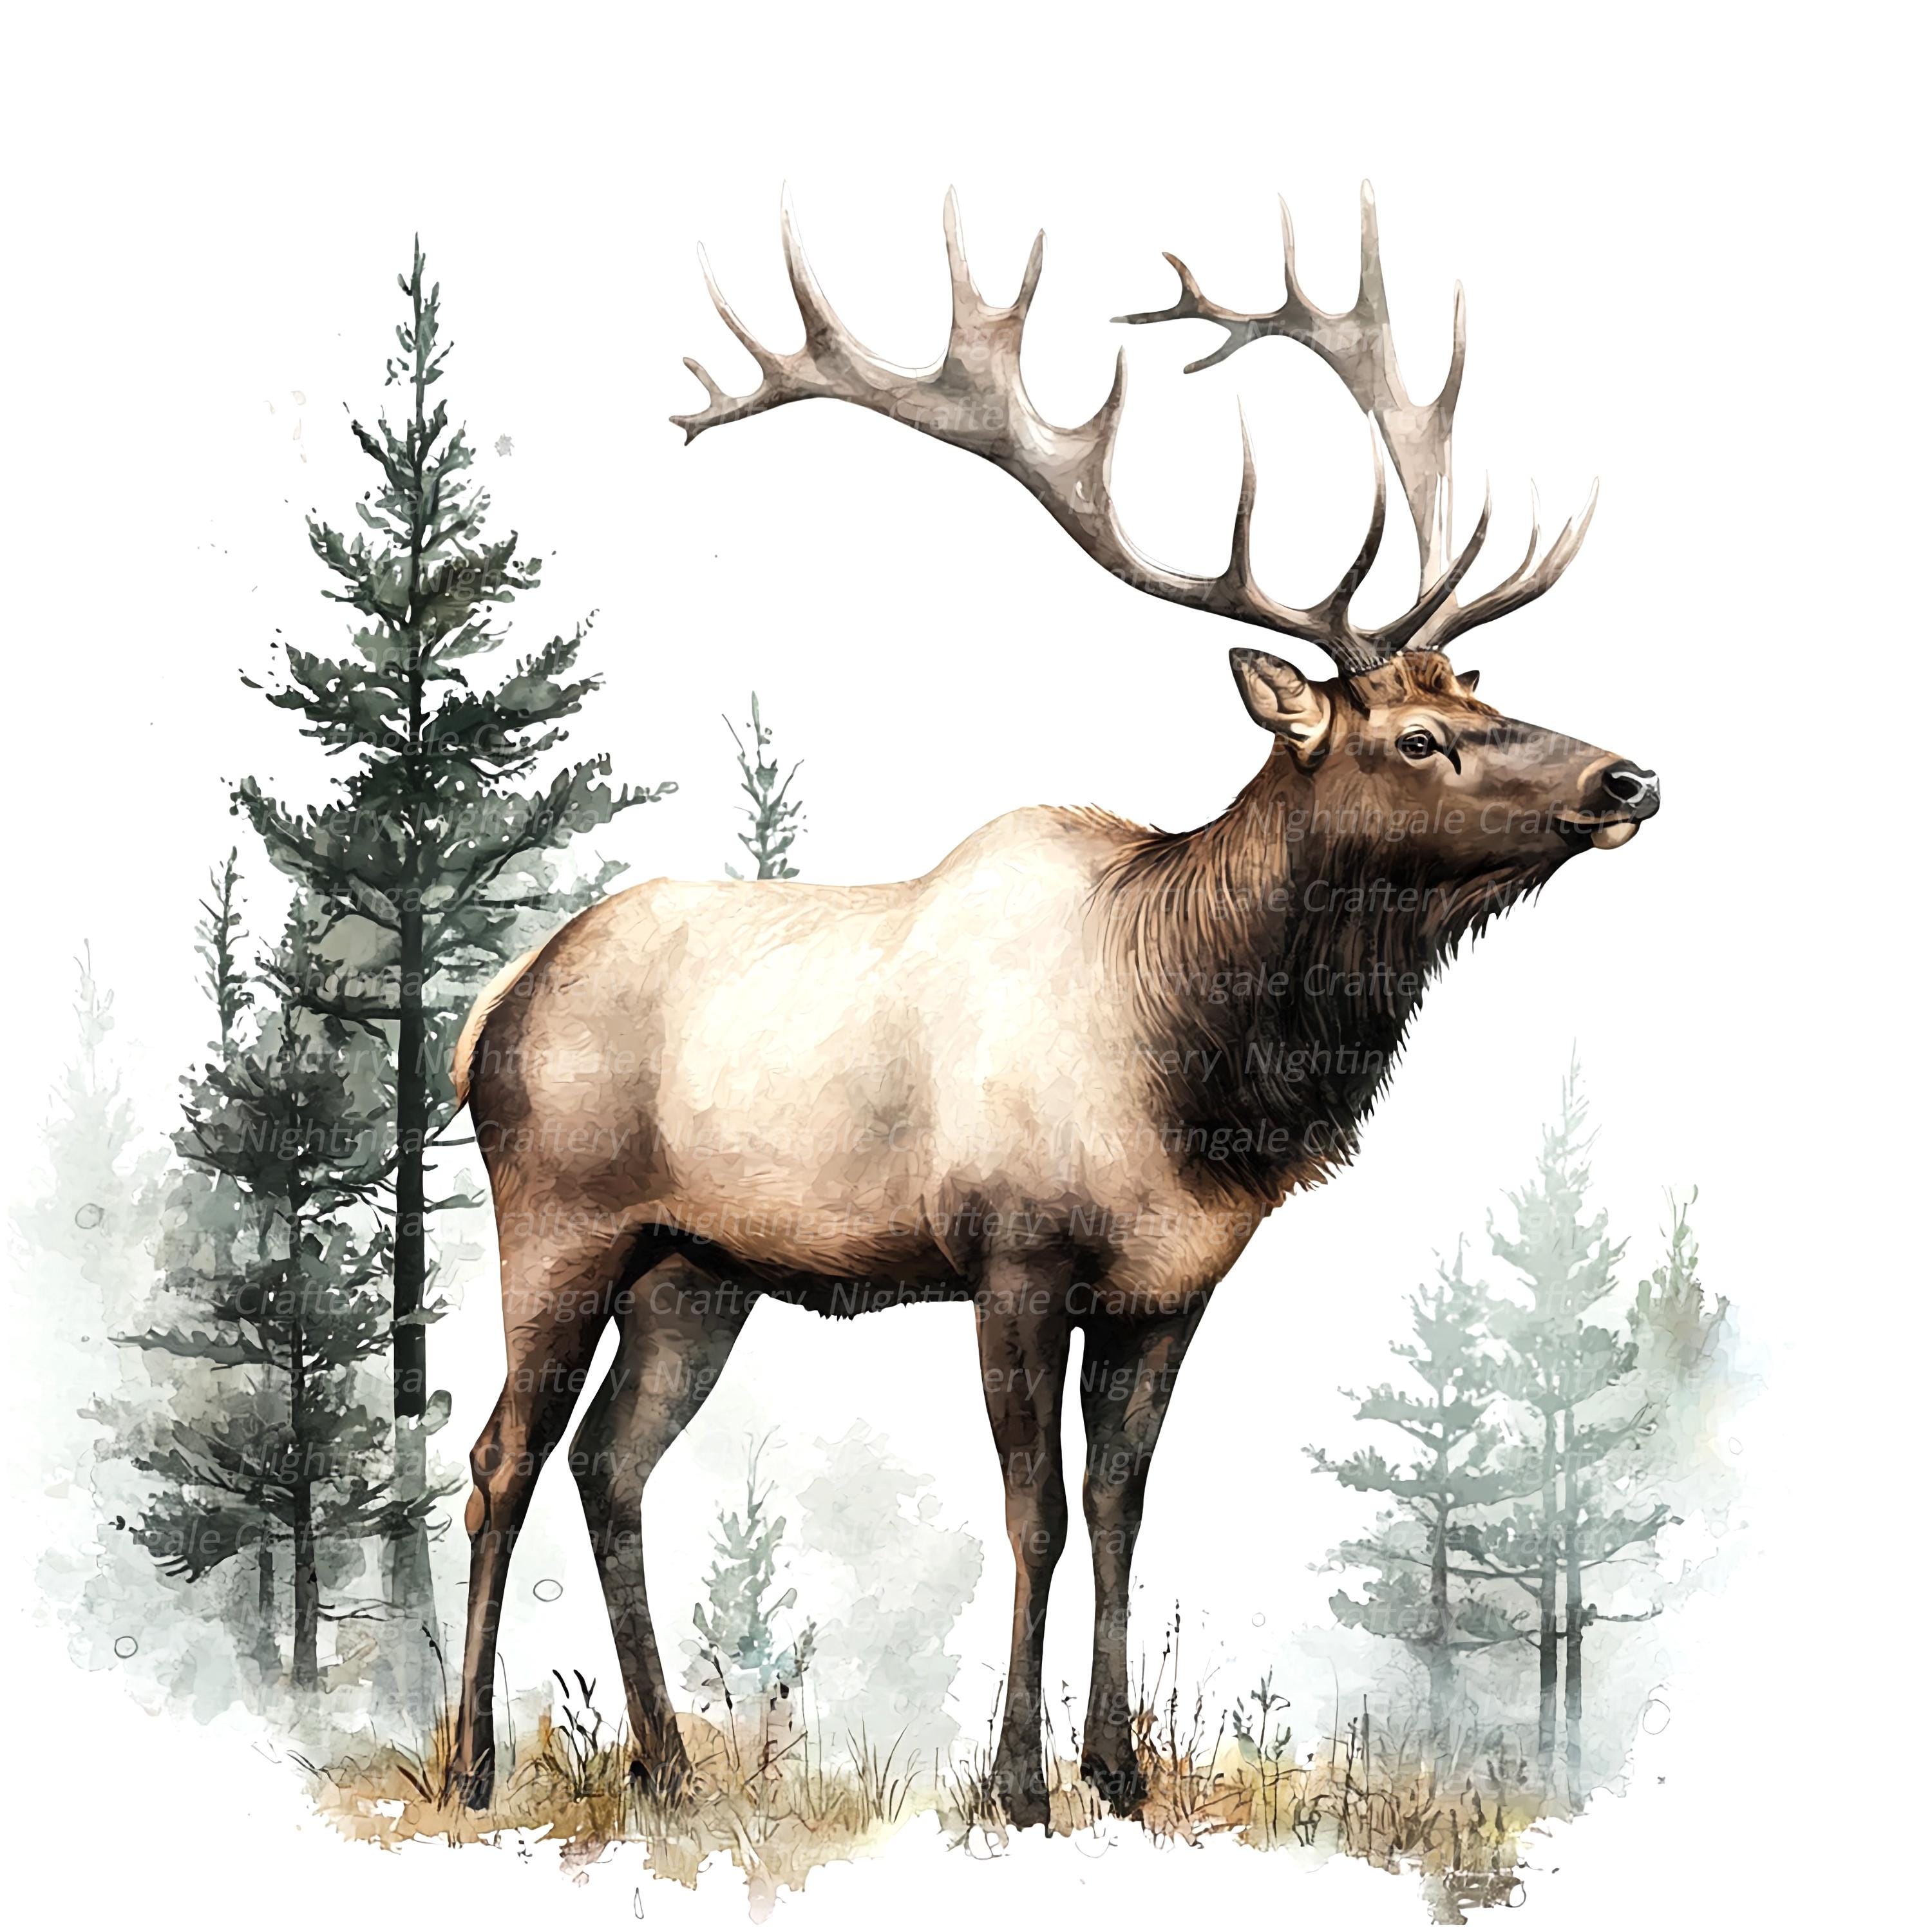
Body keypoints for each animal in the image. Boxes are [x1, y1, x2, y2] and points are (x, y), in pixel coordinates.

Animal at [442, 188, 1660, 1823]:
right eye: (1416, 737)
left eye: (1481, 689)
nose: (1627, 776)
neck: (1203, 1078)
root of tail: (490, 1007)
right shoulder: (1013, 1256)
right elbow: (1033, 1517)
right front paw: (1017, 1780)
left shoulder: (1166, 1285)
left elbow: (1120, 1510)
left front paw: (1121, 1766)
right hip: (564, 1218)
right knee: (501, 1457)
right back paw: (469, 1762)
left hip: (697, 1269)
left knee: (610, 1465)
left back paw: (670, 1764)